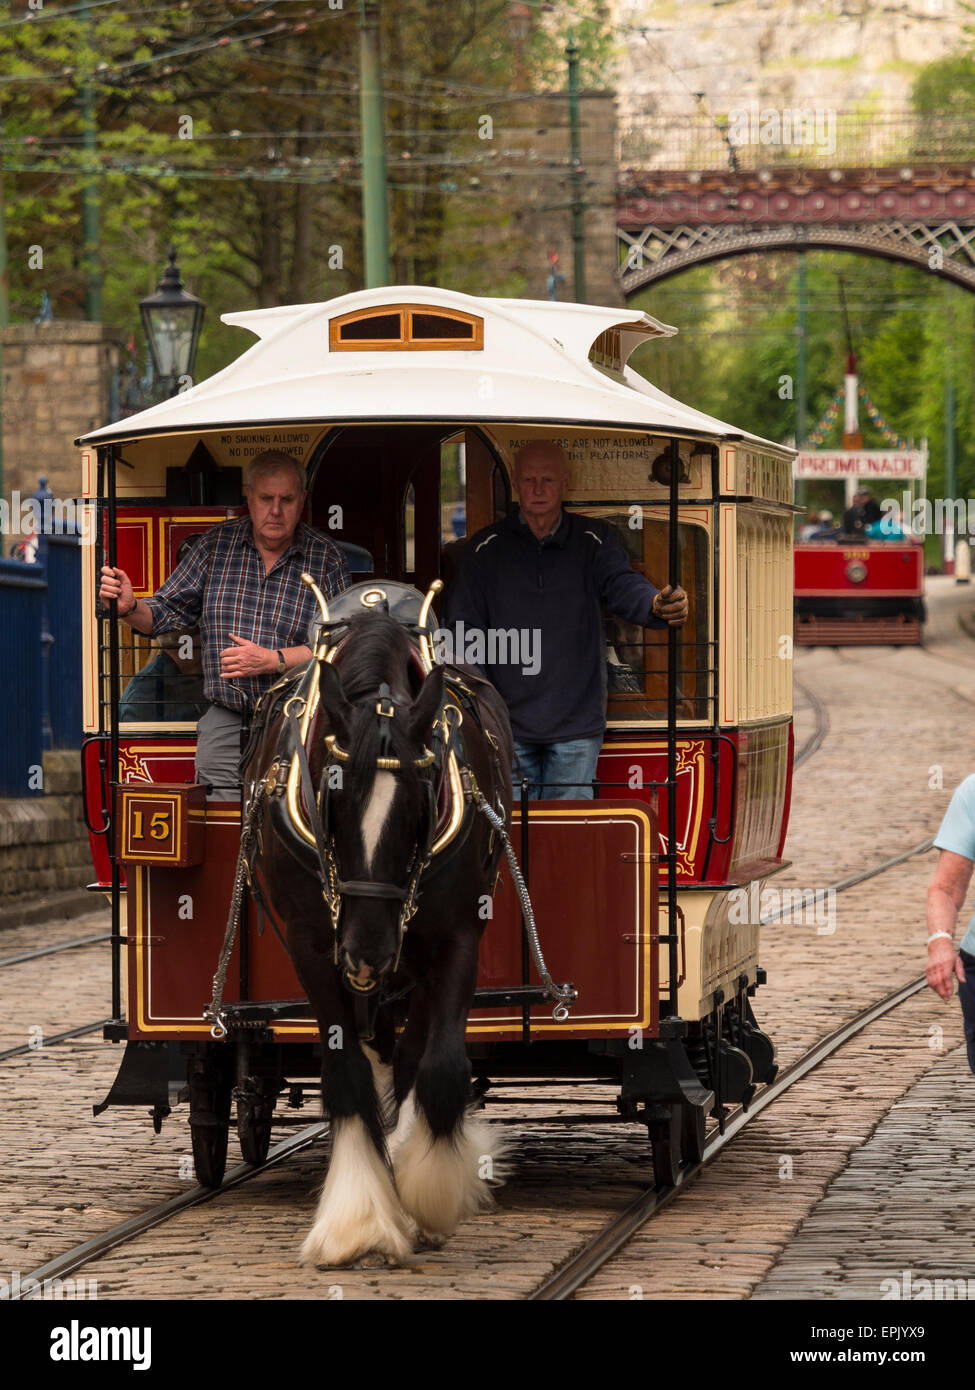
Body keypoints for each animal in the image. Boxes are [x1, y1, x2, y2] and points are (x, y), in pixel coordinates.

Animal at [241, 590, 513, 1267]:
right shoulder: (313, 948)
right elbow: (347, 1076)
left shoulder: (456, 938)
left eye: (421, 804)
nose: (367, 952)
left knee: (414, 1056)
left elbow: (441, 1070)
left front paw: (428, 1197)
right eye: (329, 800)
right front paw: (359, 1221)